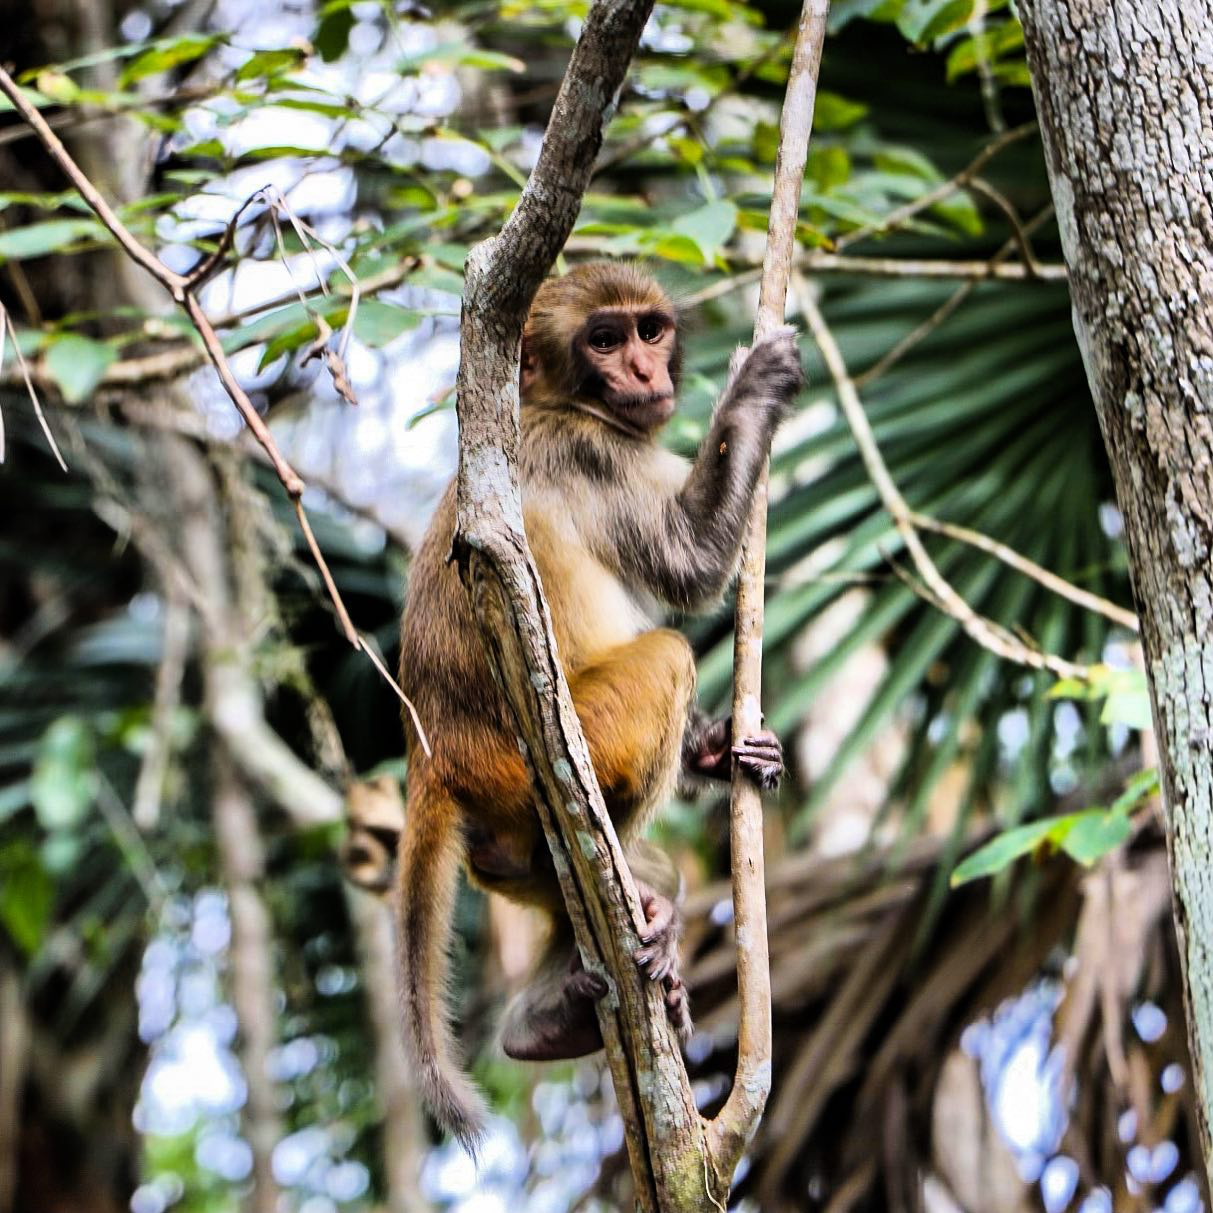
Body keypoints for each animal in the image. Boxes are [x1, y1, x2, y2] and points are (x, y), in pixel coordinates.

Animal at [397, 261, 803, 1150]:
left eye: (648, 330)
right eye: (605, 340)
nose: (645, 371)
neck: (549, 405)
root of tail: (436, 753)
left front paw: (727, 750)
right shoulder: (598, 453)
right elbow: (691, 560)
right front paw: (753, 389)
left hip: (503, 839)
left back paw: (549, 1016)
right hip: (551, 754)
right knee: (666, 654)